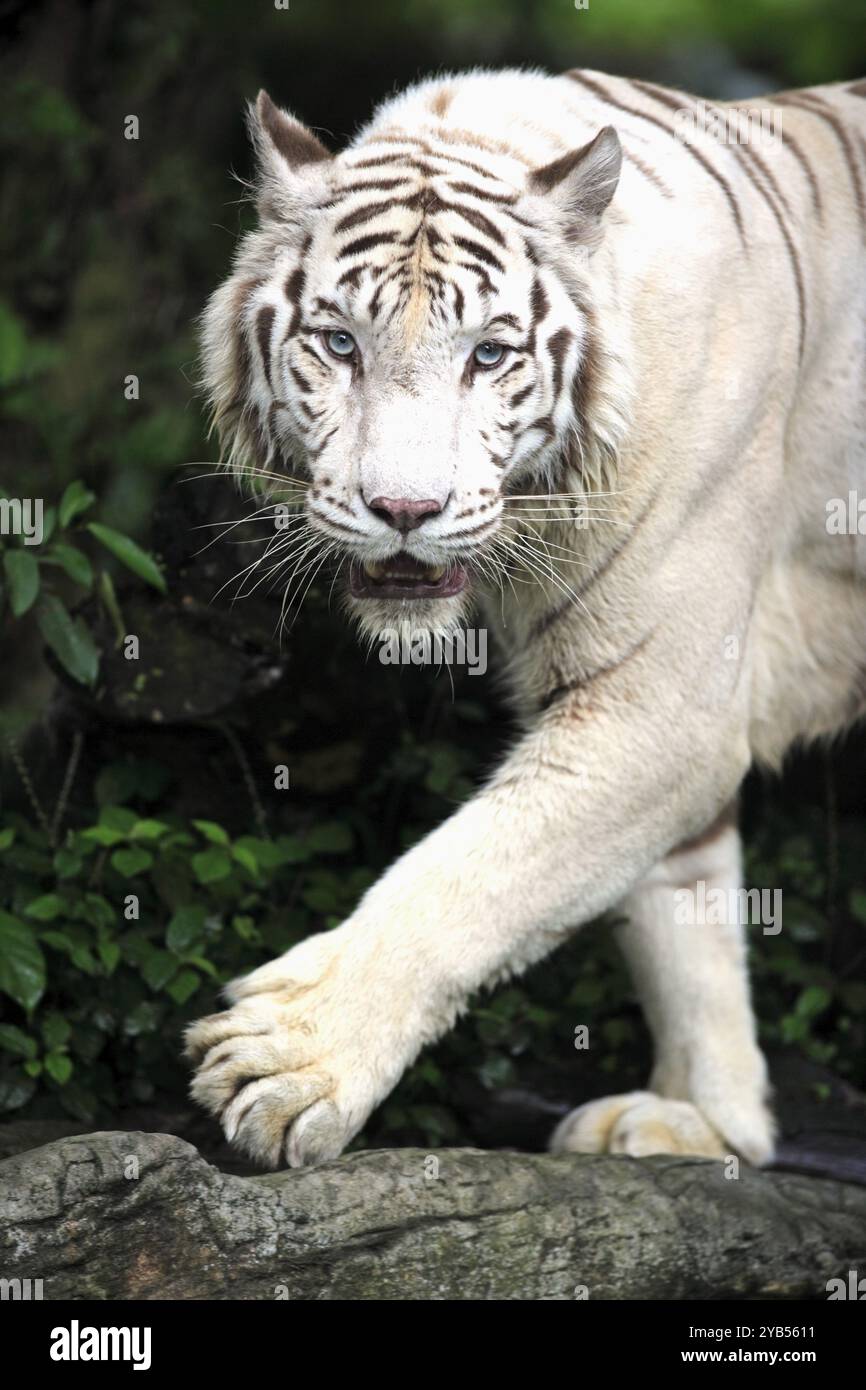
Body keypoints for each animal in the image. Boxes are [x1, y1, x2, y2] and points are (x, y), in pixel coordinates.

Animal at [186, 66, 866, 1170]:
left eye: (489, 355)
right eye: (339, 344)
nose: (404, 509)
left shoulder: (659, 706)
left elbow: (474, 873)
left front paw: (293, 1061)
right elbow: (682, 909)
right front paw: (707, 1123)